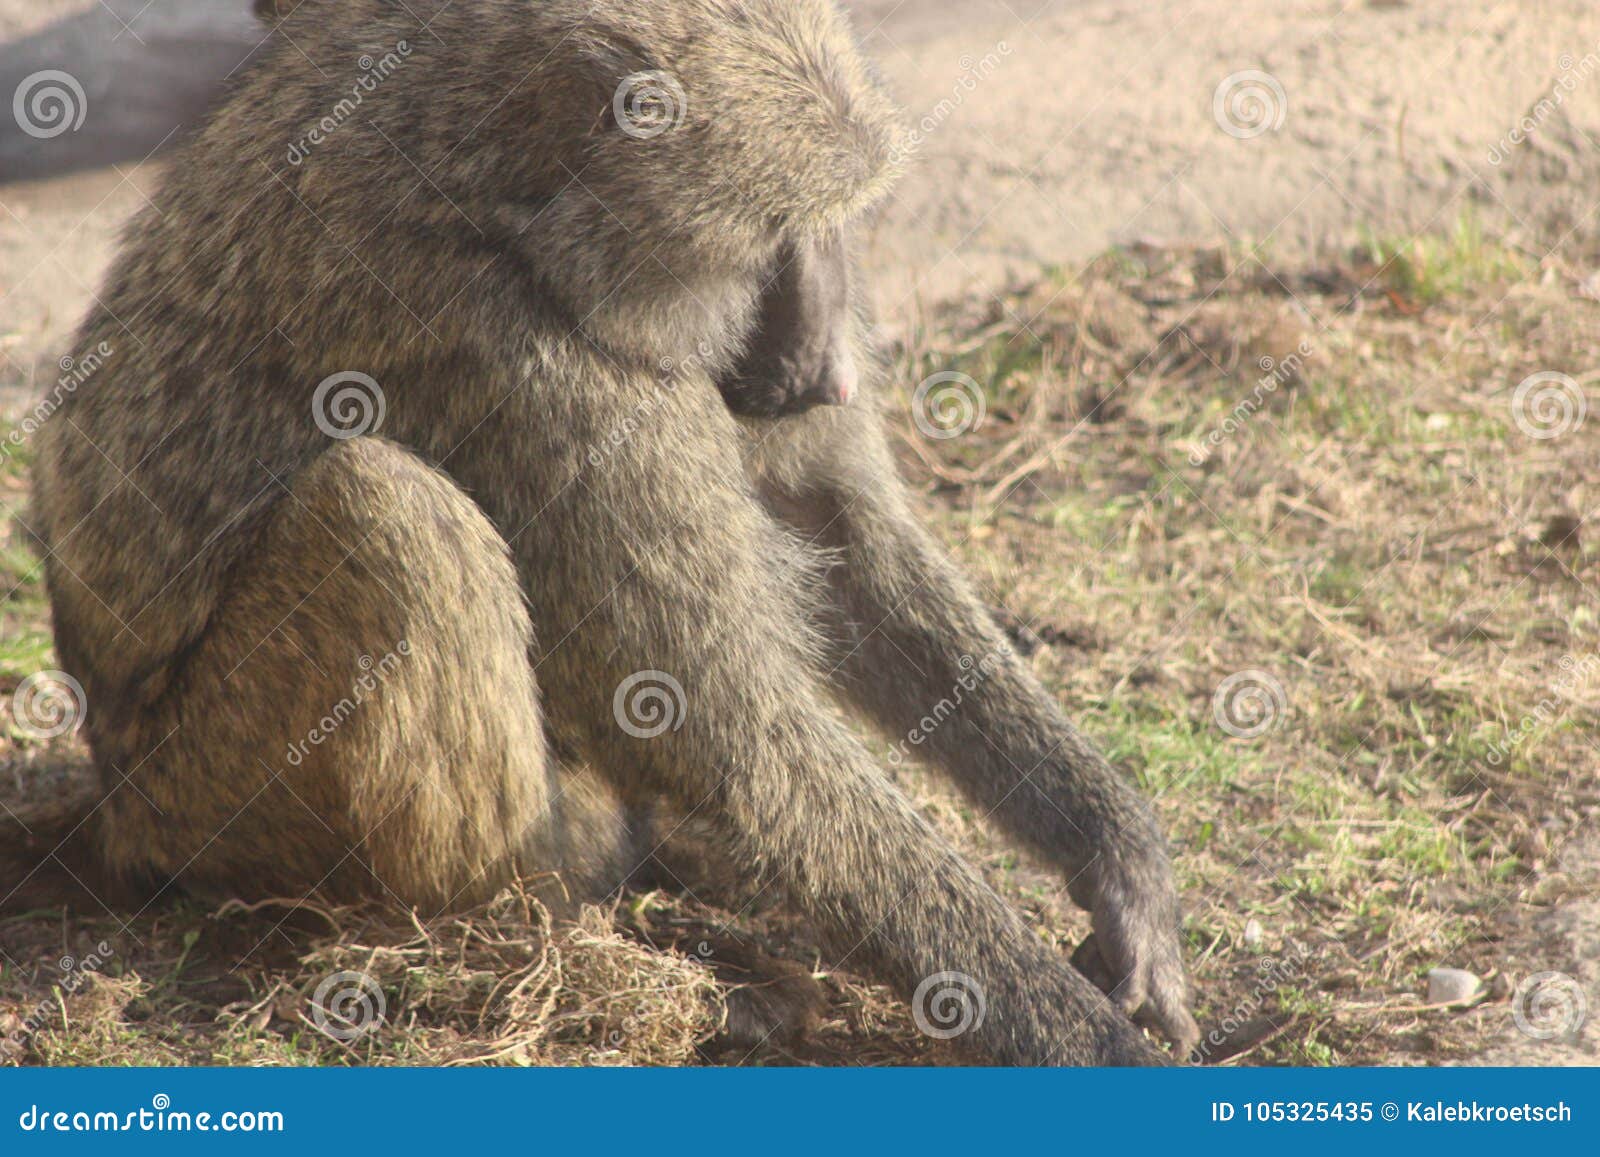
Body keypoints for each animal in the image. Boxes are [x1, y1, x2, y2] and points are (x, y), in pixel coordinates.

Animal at [19, 0, 1199, 1066]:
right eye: (773, 233)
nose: (832, 372)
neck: (486, 177)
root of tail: (113, 795)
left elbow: (835, 531)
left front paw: (1119, 865)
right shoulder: (527, 360)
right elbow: (724, 727)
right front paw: (1093, 1045)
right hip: (206, 792)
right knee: (389, 509)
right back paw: (528, 926)